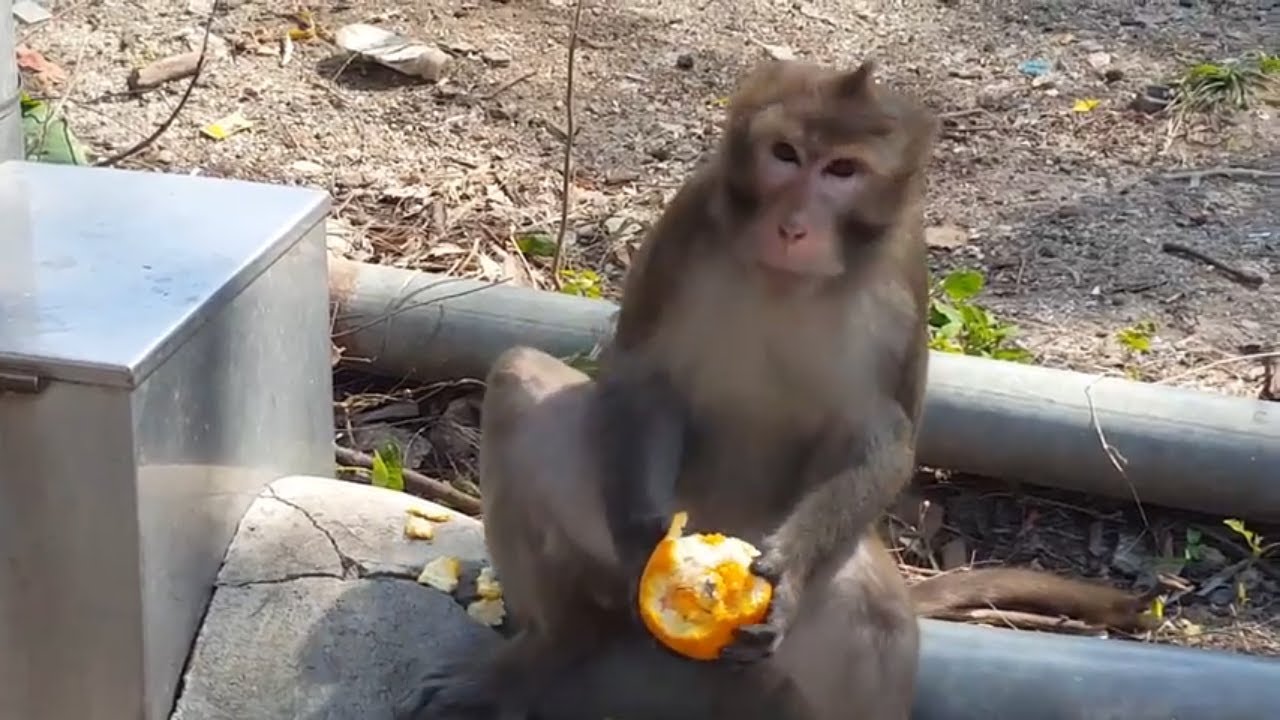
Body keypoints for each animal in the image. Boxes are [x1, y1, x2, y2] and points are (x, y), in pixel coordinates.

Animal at [395, 58, 1149, 720]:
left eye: (843, 170)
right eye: (786, 154)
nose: (793, 225)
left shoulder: (903, 272)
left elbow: (882, 432)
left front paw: (786, 576)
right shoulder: (690, 217)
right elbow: (643, 375)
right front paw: (643, 539)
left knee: (874, 615)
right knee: (520, 382)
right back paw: (553, 649)